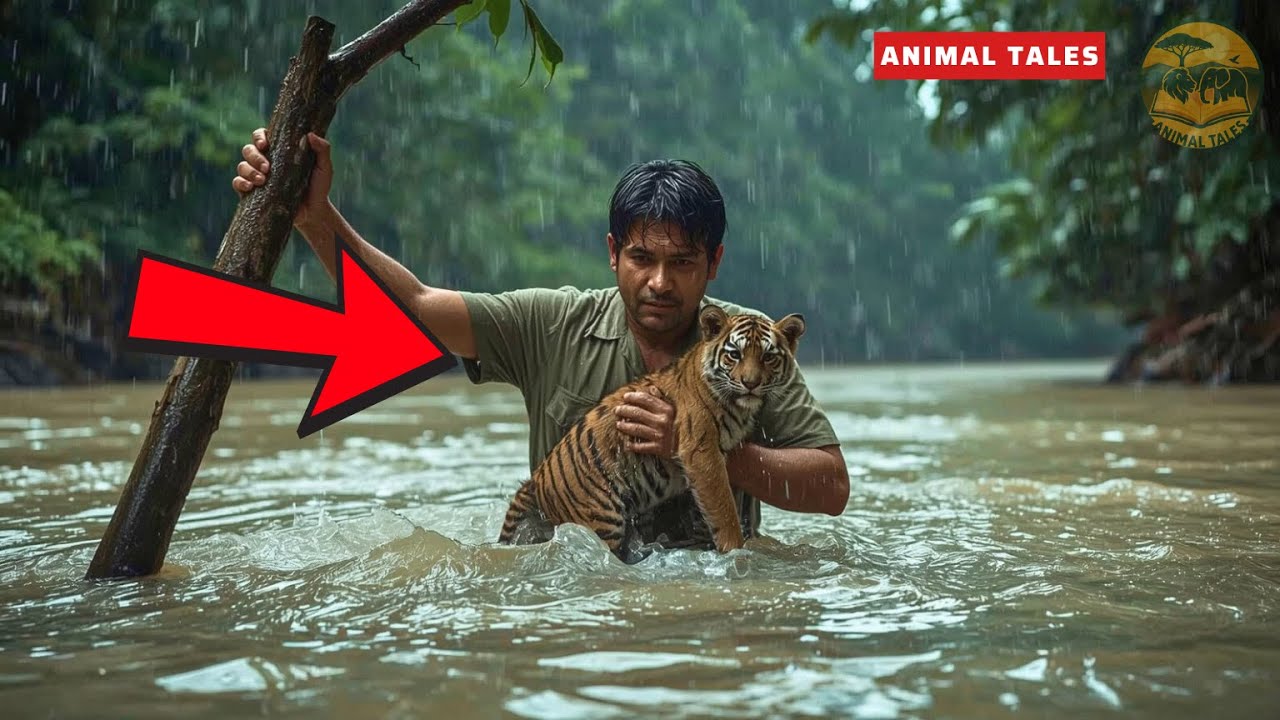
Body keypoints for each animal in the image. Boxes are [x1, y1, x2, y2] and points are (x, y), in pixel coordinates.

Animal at [496, 304, 807, 563]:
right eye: (734, 355)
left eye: (768, 357)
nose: (750, 383)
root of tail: (536, 481)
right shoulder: (702, 452)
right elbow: (724, 509)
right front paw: (736, 550)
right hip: (600, 518)